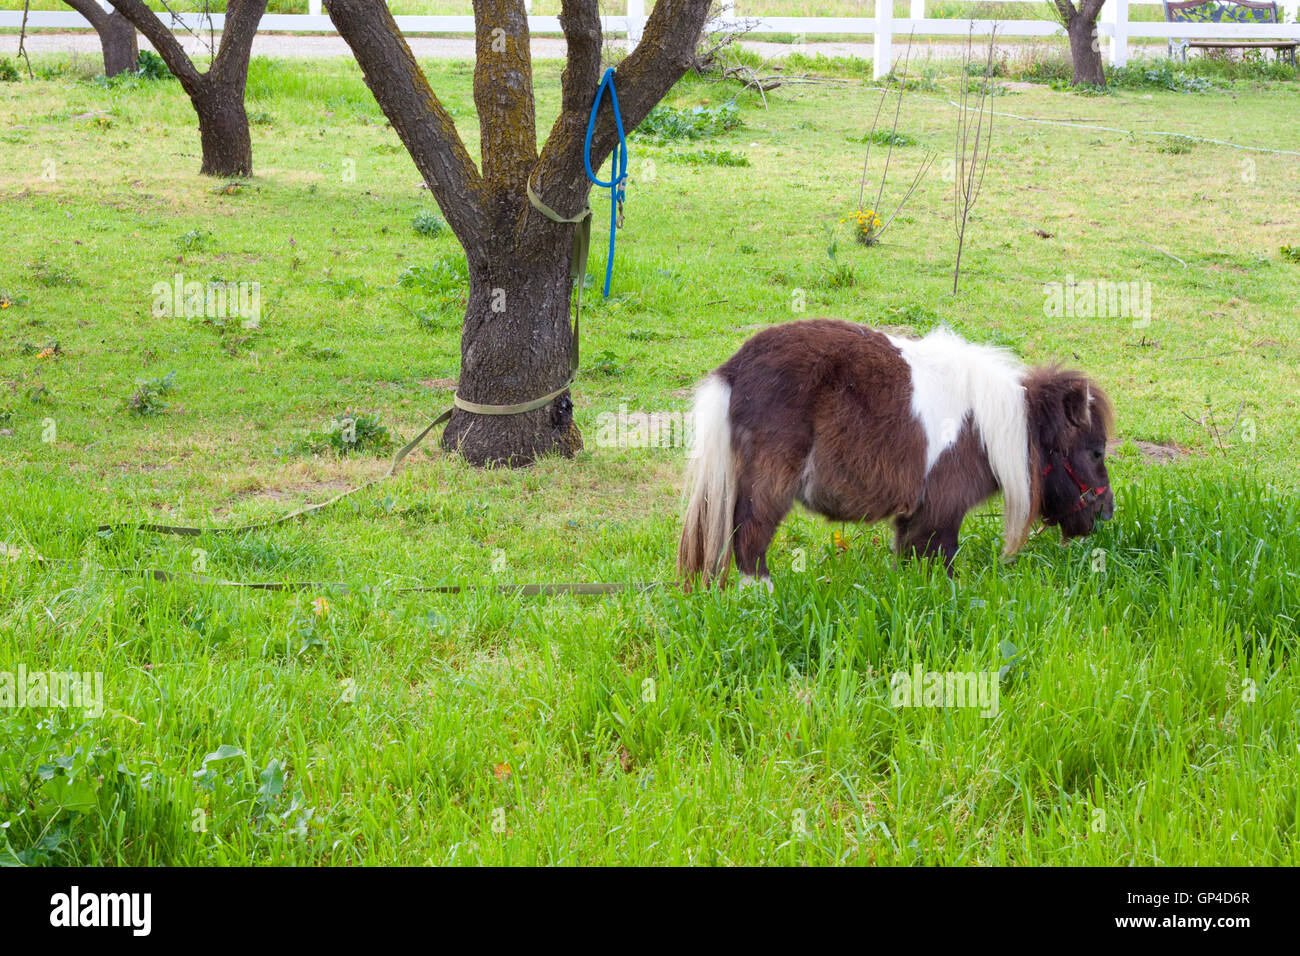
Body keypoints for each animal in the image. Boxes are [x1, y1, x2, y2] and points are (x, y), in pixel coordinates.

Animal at [677, 320, 1114, 589]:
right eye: (1095, 452)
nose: (1107, 512)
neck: (985, 426)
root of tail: (734, 371)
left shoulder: (915, 519)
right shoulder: (939, 516)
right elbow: (939, 568)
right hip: (768, 487)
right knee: (750, 541)